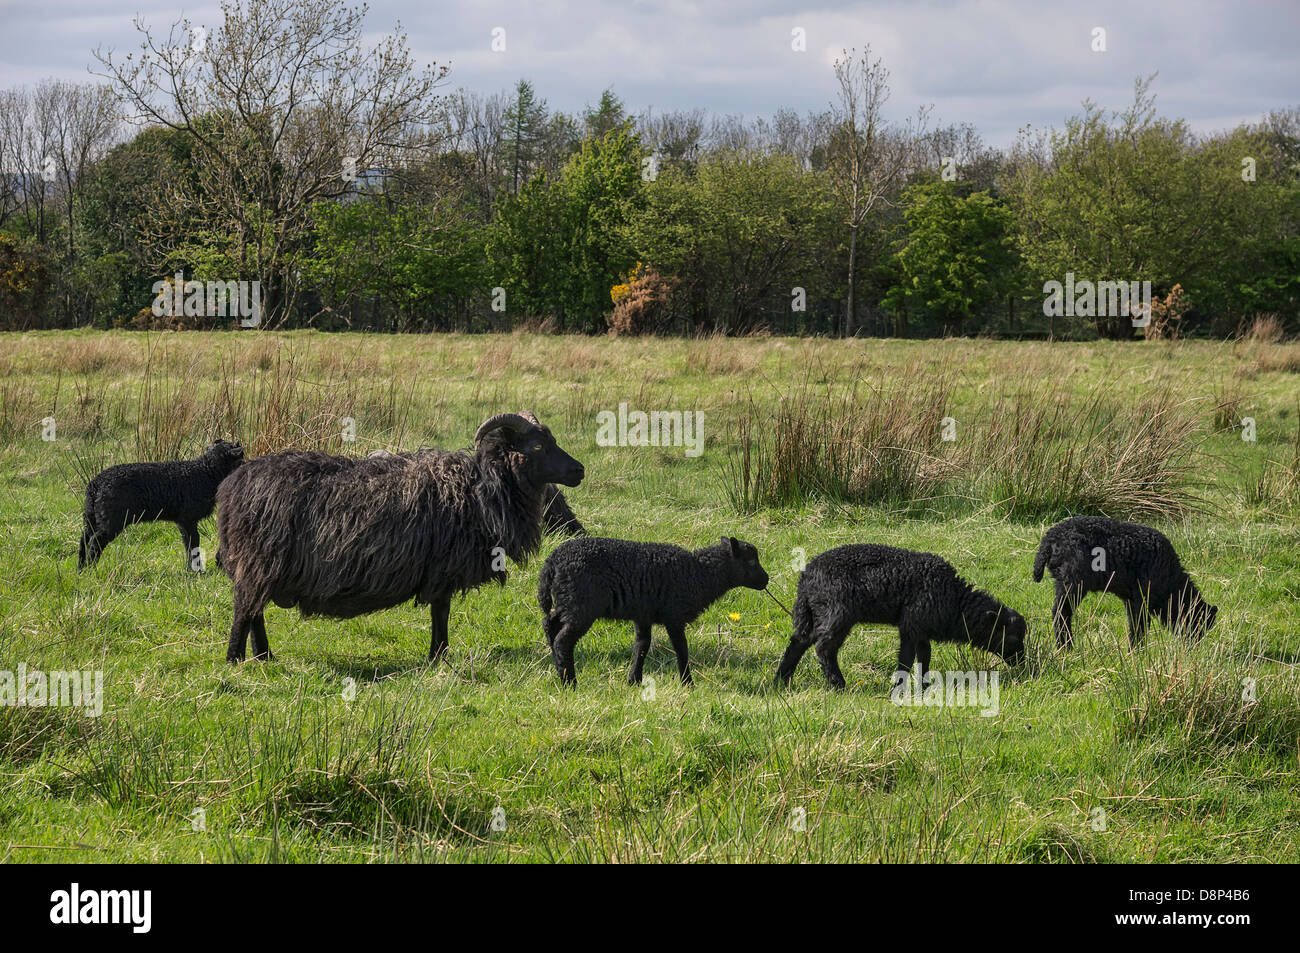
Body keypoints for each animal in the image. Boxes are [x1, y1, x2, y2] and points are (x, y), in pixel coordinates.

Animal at [78, 439, 245, 571]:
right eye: (241, 459)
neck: (207, 472)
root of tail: (94, 485)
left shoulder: (182, 521)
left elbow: (188, 544)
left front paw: (189, 570)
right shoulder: (188, 519)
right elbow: (193, 543)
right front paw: (197, 570)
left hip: (92, 517)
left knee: (84, 539)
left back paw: (81, 569)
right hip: (112, 519)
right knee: (95, 541)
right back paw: (91, 569)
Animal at [216, 412, 583, 663]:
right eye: (538, 445)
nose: (579, 470)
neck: (483, 489)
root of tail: (231, 487)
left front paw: (438, 655)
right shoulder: (442, 570)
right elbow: (441, 613)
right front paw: (439, 656)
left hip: (261, 565)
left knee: (255, 611)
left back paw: (264, 656)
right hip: (258, 560)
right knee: (244, 610)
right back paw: (235, 659)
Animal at [537, 536, 770, 686]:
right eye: (751, 561)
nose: (766, 579)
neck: (699, 573)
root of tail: (552, 561)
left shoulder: (643, 615)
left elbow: (642, 646)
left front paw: (634, 680)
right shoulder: (675, 616)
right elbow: (682, 650)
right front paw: (688, 683)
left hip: (567, 601)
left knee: (550, 625)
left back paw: (559, 670)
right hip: (582, 605)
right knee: (563, 641)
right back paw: (570, 682)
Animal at [775, 544, 1026, 690]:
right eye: (1013, 637)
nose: (1022, 664)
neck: (956, 601)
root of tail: (806, 578)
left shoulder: (921, 628)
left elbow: (924, 656)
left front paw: (924, 685)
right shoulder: (910, 626)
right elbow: (905, 658)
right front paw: (899, 687)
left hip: (814, 613)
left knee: (799, 641)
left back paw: (782, 679)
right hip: (837, 612)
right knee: (824, 648)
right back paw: (839, 685)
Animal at [1033, 516, 1217, 647]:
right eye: (1198, 624)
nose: (1194, 648)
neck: (1171, 585)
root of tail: (1049, 540)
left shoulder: (1130, 599)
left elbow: (1134, 623)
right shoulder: (1142, 597)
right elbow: (1140, 625)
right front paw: (1137, 651)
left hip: (1063, 581)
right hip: (1073, 580)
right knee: (1061, 612)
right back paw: (1066, 646)